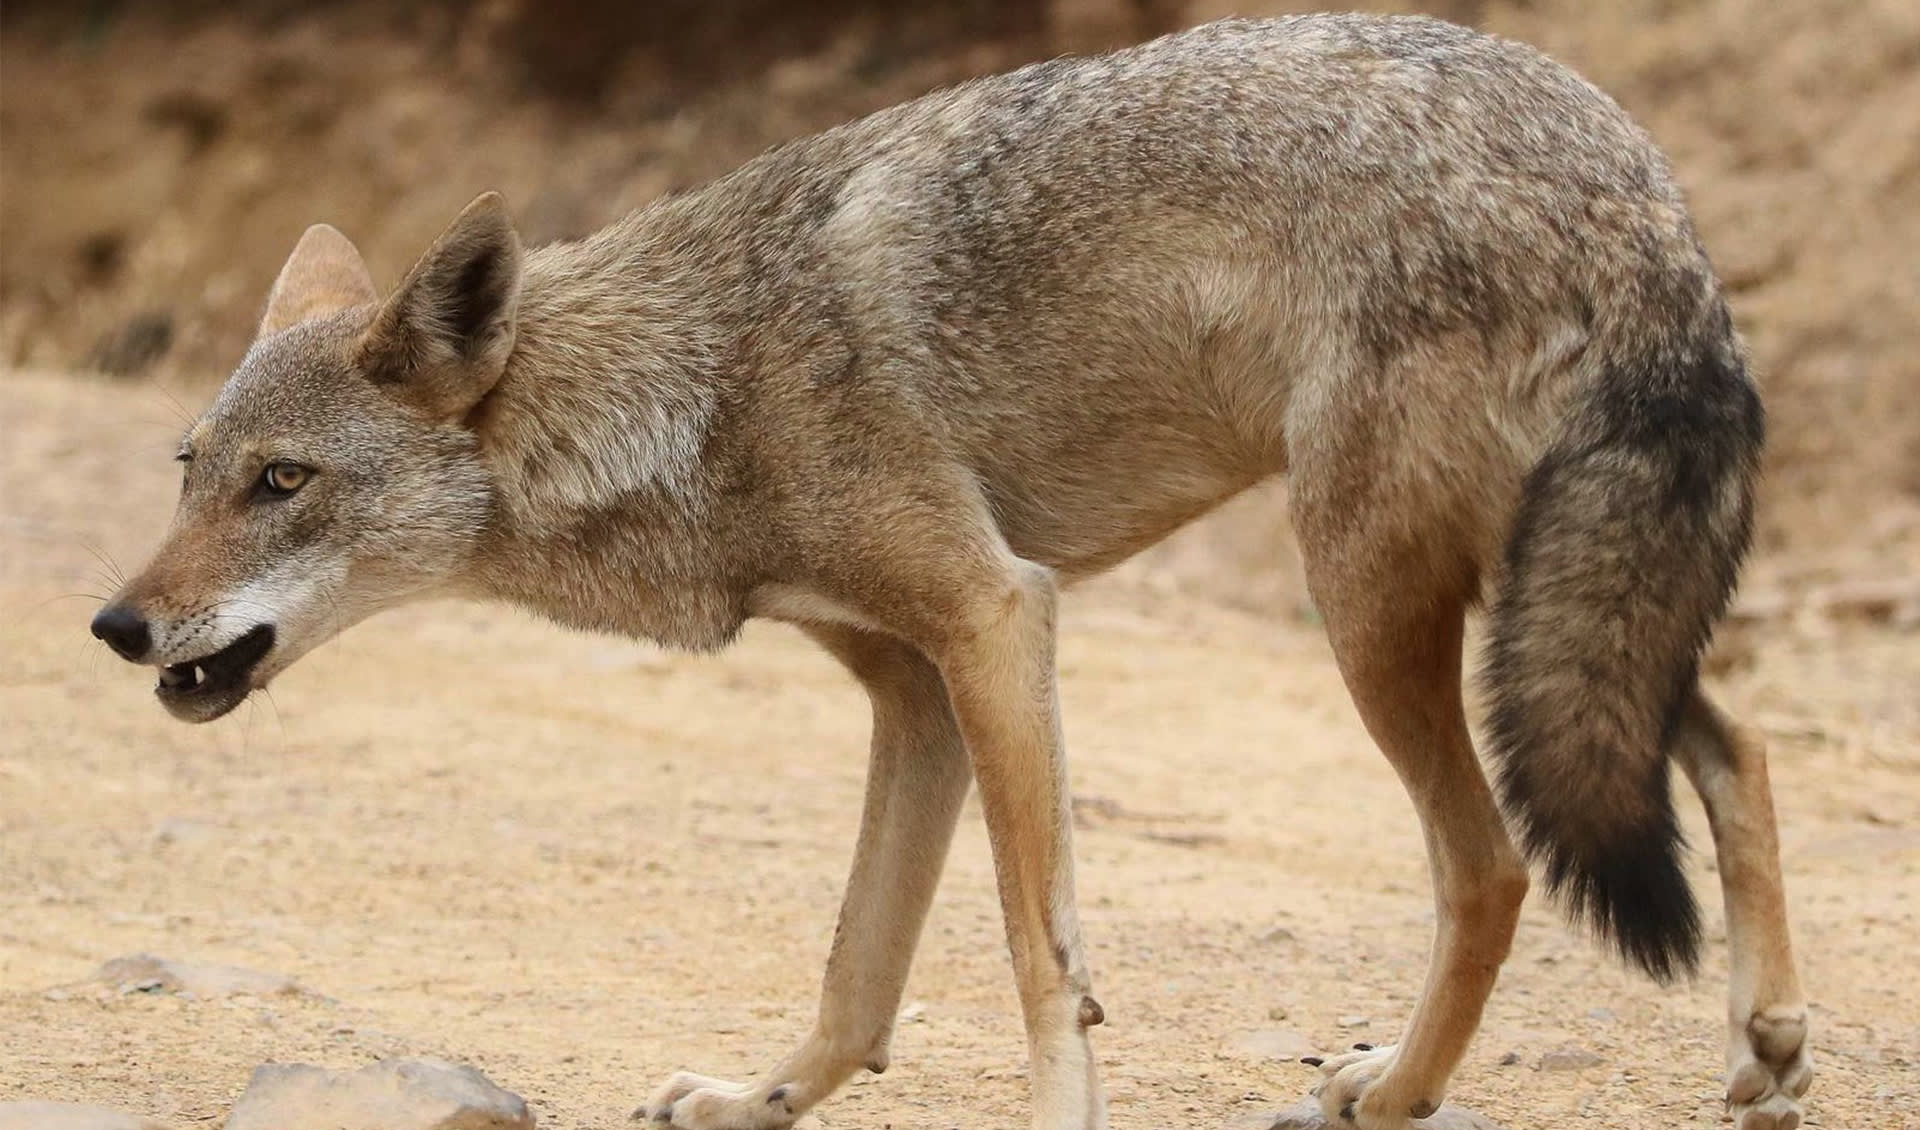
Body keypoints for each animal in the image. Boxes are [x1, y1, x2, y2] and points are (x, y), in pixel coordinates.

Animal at [90, 14, 1810, 1130]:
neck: (698, 381)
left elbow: (1038, 954)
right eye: (188, 468)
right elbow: (860, 970)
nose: (117, 623)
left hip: (1377, 612)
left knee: (1494, 861)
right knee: (1732, 745)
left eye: (283, 483)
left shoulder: (995, 619)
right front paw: (752, 1097)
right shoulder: (908, 684)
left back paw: (1390, 1090)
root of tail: (1639, 184)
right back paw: (1770, 1040)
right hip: (1544, 609)